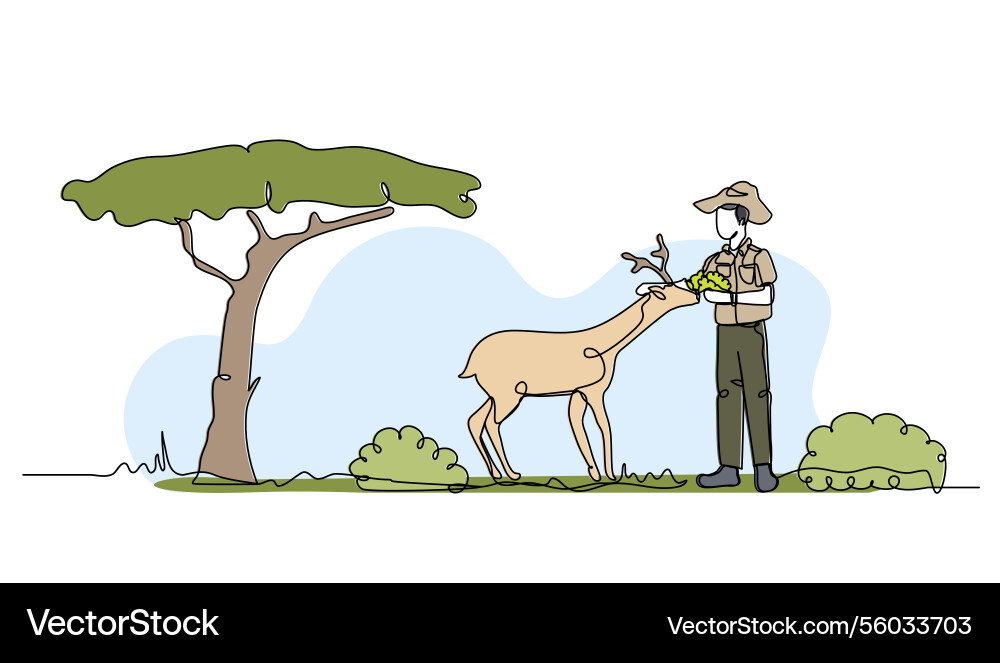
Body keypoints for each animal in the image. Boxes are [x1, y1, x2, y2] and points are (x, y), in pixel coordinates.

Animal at [459, 235, 699, 482]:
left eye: (679, 281)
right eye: (667, 288)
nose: (696, 295)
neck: (607, 348)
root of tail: (470, 364)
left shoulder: (576, 391)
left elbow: (576, 424)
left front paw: (594, 473)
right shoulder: (595, 389)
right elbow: (604, 426)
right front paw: (610, 474)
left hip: (496, 393)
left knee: (474, 419)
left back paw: (496, 473)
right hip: (507, 393)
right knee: (491, 423)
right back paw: (512, 473)